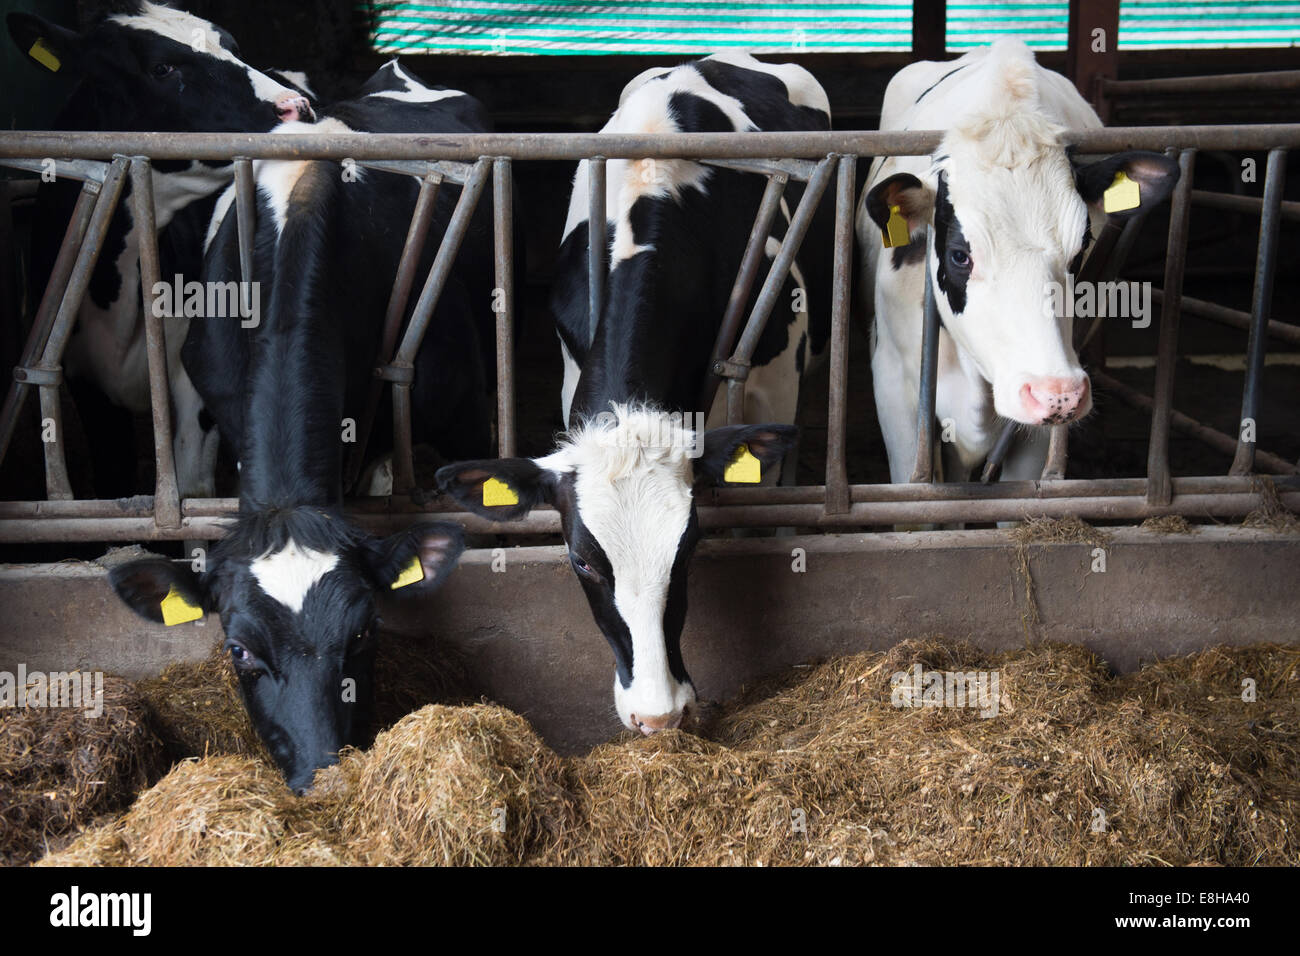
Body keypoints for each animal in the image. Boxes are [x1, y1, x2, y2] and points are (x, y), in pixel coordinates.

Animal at [6, 1, 316, 500]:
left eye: (232, 47)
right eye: (162, 68)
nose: (297, 107)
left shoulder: (196, 376)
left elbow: (189, 485)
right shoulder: (83, 380)